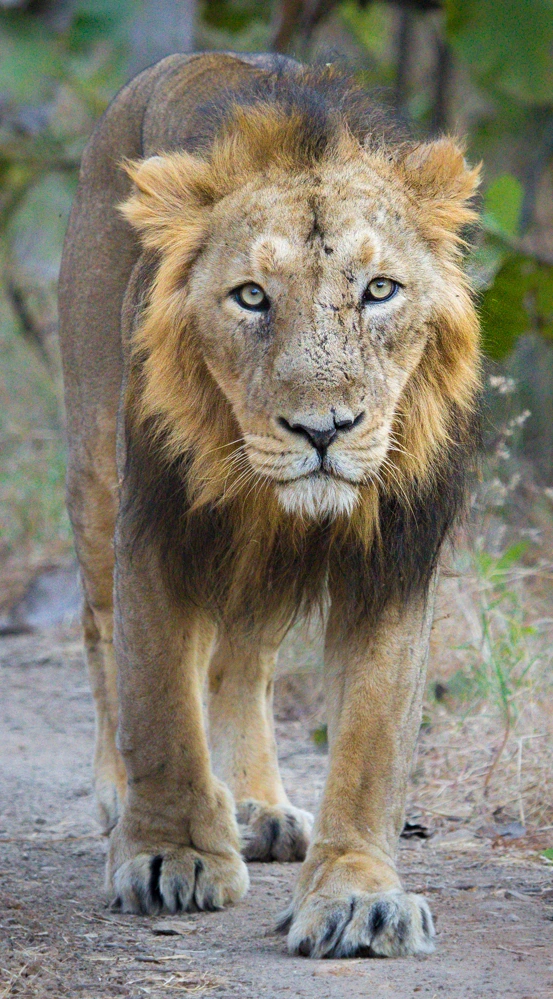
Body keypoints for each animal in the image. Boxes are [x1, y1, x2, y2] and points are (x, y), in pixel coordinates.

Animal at [58, 51, 480, 959]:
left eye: (379, 290)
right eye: (251, 296)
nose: (323, 428)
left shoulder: (391, 561)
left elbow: (370, 745)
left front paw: (358, 897)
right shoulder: (157, 525)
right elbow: (159, 702)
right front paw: (169, 853)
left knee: (241, 660)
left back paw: (255, 806)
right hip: (95, 473)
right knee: (101, 629)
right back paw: (120, 793)